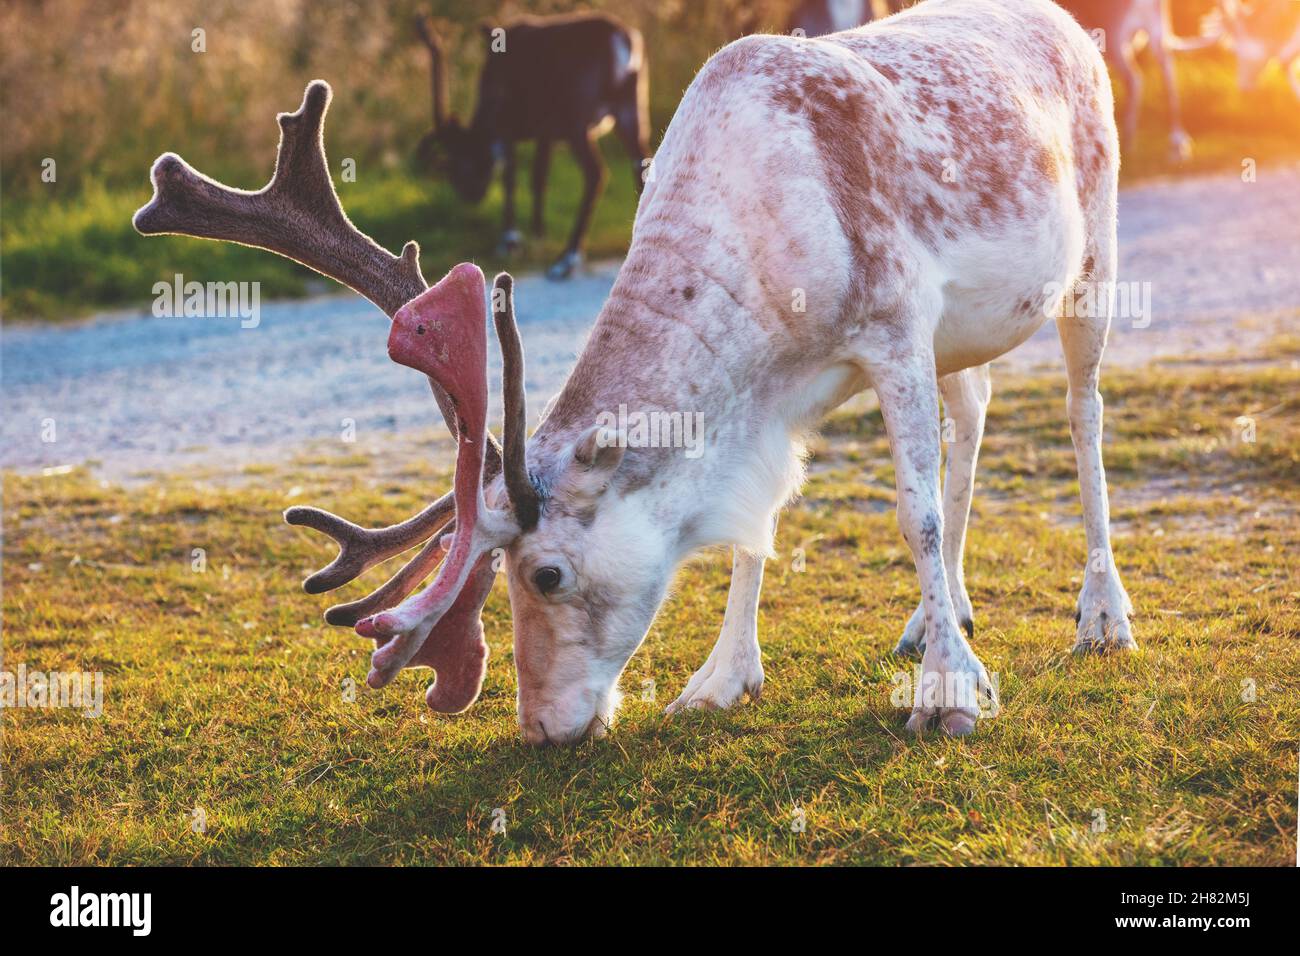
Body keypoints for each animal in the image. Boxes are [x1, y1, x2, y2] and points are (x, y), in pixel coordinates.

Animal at [414, 12, 650, 281]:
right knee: (642, 164)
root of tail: (620, 38)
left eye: (459, 166)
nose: (470, 197)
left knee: (596, 173)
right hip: (630, 108)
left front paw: (509, 242)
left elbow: (510, 176)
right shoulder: (544, 134)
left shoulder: (505, 124)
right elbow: (539, 177)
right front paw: (539, 233)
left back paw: (566, 260)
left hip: (577, 121)